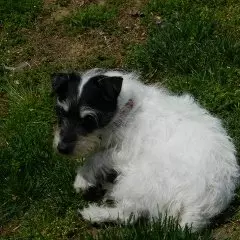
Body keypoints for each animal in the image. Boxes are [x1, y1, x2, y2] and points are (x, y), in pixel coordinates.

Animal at [51, 68, 239, 231]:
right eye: (62, 113)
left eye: (89, 119)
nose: (62, 148)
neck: (127, 111)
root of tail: (197, 209)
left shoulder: (122, 152)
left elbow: (97, 157)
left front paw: (82, 179)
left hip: (137, 180)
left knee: (129, 214)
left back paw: (94, 213)